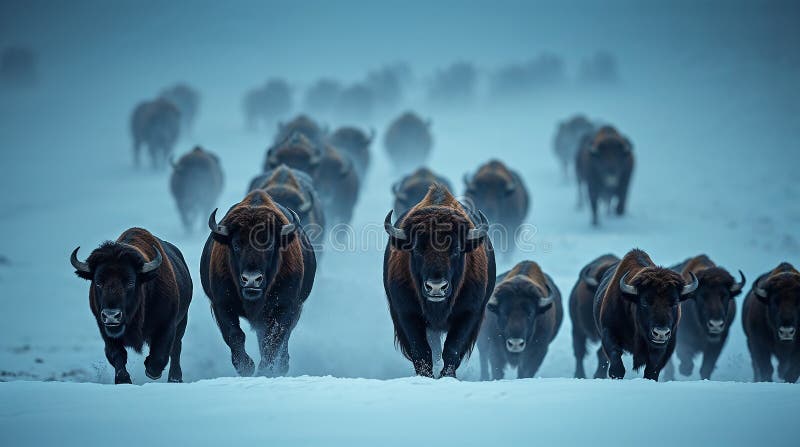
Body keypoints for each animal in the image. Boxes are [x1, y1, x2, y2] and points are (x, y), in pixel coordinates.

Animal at [70, 228, 192, 383]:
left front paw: (151, 370)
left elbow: (161, 355)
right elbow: (117, 354)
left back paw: (175, 378)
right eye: (98, 282)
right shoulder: (105, 329)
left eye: (130, 282)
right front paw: (123, 379)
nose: (111, 315)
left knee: (176, 348)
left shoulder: (168, 324)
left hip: (182, 321)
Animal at [200, 191, 316, 377]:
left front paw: (264, 370)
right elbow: (234, 334)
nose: (251, 279)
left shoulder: (286, 306)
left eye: (268, 244)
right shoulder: (221, 305)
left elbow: (273, 338)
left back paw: (282, 366)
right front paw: (247, 368)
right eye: (236, 244)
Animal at [383, 183, 495, 378]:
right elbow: (421, 350)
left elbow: (452, 348)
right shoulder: (406, 313)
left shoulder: (469, 313)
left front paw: (447, 376)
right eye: (417, 249)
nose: (436, 287)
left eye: (456, 249)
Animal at [593, 249, 698, 380]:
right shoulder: (609, 331)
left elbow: (652, 369)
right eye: (644, 302)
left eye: (674, 302)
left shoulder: (664, 347)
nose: (661, 333)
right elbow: (616, 359)